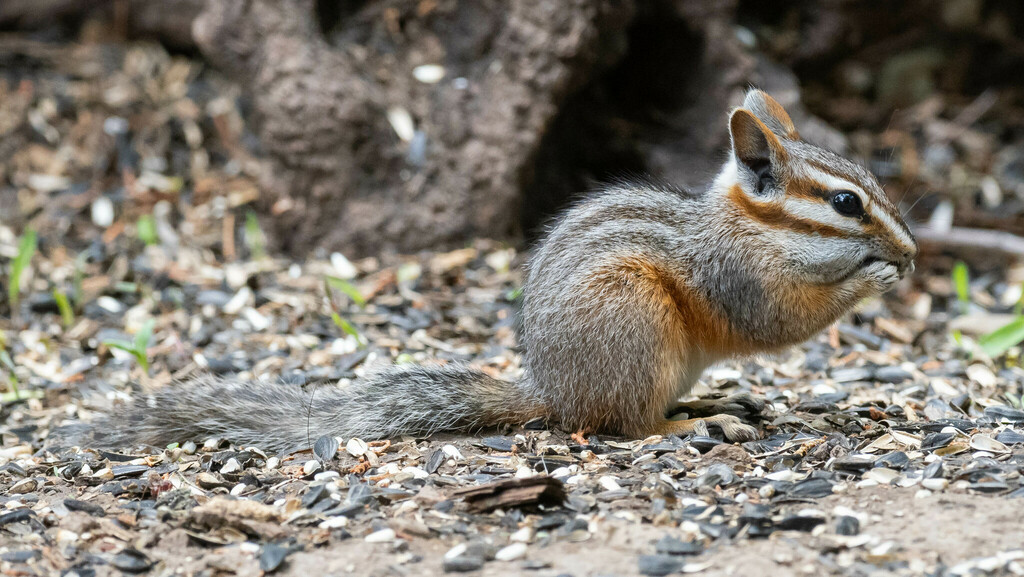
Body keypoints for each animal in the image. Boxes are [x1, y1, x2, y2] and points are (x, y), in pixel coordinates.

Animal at [88, 90, 917, 453]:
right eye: (845, 203)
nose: (911, 253)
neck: (751, 227)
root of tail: (551, 389)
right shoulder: (736, 276)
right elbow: (778, 321)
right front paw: (867, 280)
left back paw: (713, 397)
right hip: (637, 330)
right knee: (625, 426)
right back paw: (697, 419)